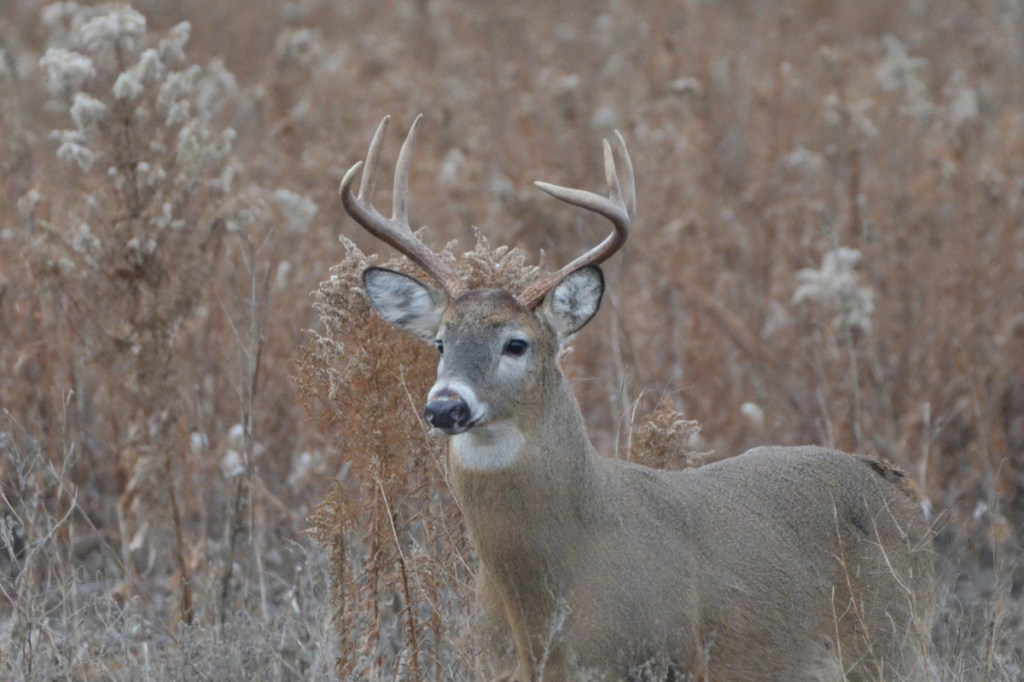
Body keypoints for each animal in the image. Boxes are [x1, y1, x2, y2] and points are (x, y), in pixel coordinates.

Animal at [335, 114, 936, 681]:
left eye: (516, 343)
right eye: (441, 341)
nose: (445, 406)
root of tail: (899, 486)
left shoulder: (665, 656)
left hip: (894, 641)